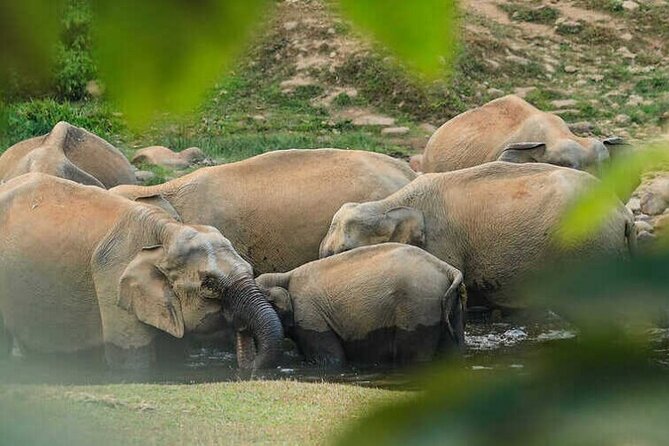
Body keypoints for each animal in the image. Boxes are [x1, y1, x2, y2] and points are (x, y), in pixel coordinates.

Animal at [0, 173, 283, 370]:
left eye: (249, 269)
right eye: (209, 284)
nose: (241, 326)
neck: (165, 231)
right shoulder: (111, 277)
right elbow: (130, 359)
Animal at [256, 243, 466, 366]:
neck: (284, 276)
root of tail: (447, 268)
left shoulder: (310, 317)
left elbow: (332, 360)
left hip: (417, 309)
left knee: (413, 355)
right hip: (446, 308)